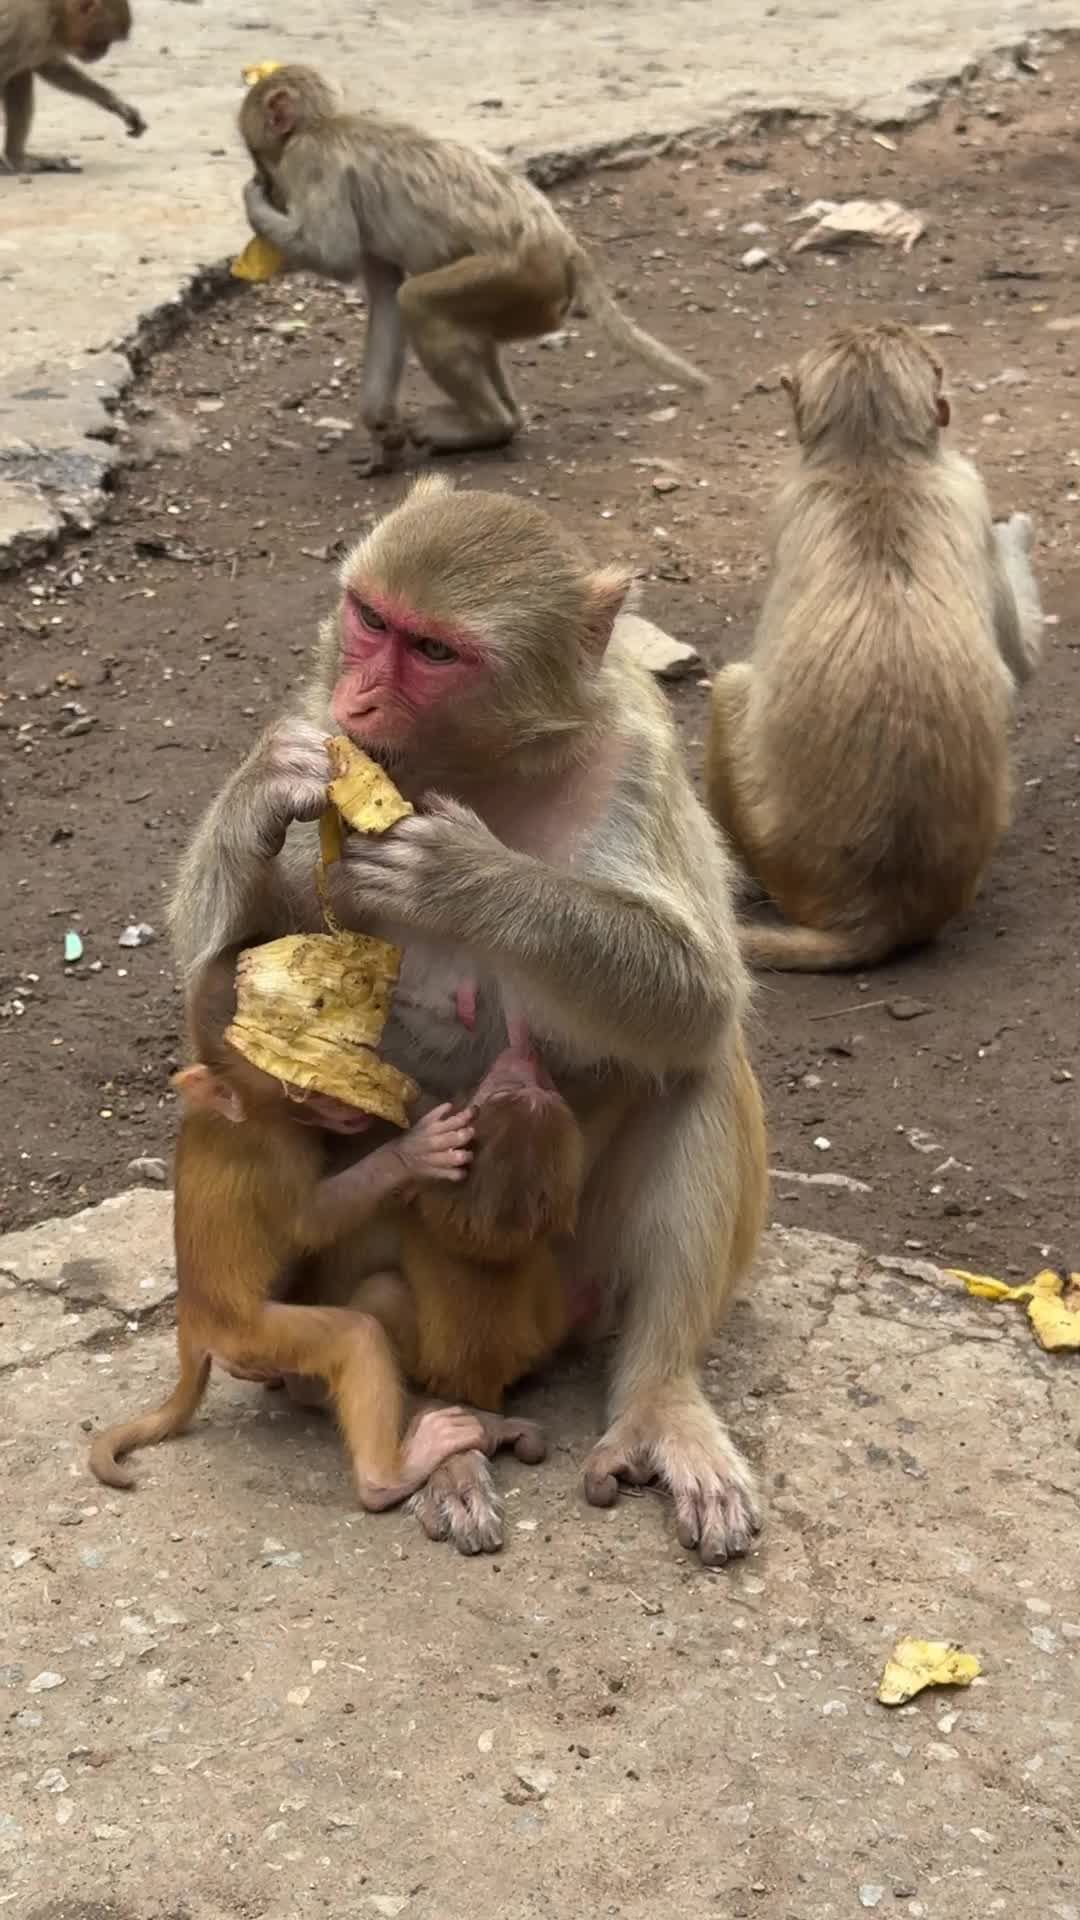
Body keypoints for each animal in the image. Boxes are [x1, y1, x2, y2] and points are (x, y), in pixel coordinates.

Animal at [1, 0, 145, 174]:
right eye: (103, 39)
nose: (102, 53)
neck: (54, 10)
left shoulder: (38, 37)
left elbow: (47, 66)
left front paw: (119, 106)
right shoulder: (26, 27)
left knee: (20, 74)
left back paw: (16, 157)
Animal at [168, 475, 769, 1567]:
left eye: (435, 652)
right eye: (371, 620)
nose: (360, 702)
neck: (481, 767)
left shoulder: (640, 759)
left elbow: (700, 991)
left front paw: (467, 878)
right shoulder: (312, 711)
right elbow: (216, 986)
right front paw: (263, 787)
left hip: (580, 1273)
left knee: (696, 1067)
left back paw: (658, 1399)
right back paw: (431, 1442)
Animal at [235, 63, 709, 464]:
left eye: (258, 157)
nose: (267, 185)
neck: (325, 123)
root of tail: (564, 244)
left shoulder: (309, 159)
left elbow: (334, 255)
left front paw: (253, 203)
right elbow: (384, 297)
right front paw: (381, 431)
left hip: (516, 277)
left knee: (420, 301)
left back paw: (489, 425)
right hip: (521, 292)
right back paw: (505, 422)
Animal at [705, 321, 1044, 973]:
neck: (876, 464)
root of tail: (880, 910)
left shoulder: (794, 498)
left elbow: (1024, 661)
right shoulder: (966, 490)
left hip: (776, 851)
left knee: (731, 684)